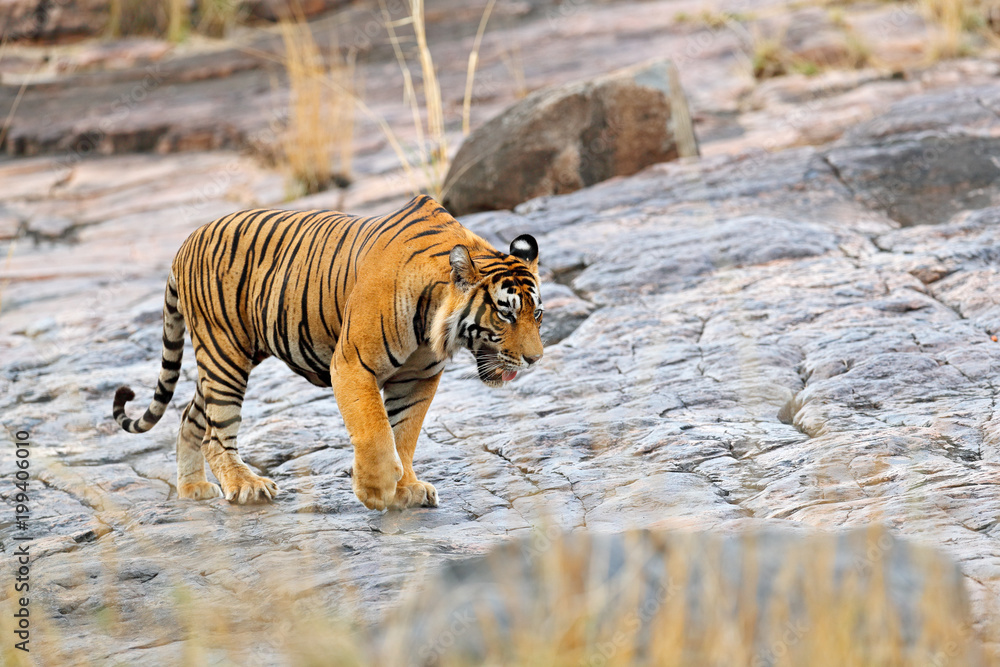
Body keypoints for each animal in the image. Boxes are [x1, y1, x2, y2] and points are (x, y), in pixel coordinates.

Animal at [112, 195, 544, 511]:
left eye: (536, 313)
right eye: (506, 314)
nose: (535, 359)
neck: (433, 322)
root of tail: (185, 242)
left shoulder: (418, 377)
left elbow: (404, 432)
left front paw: (406, 488)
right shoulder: (352, 363)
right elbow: (376, 431)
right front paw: (376, 490)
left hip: (227, 357)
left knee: (190, 418)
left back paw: (194, 489)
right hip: (224, 352)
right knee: (215, 433)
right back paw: (246, 486)